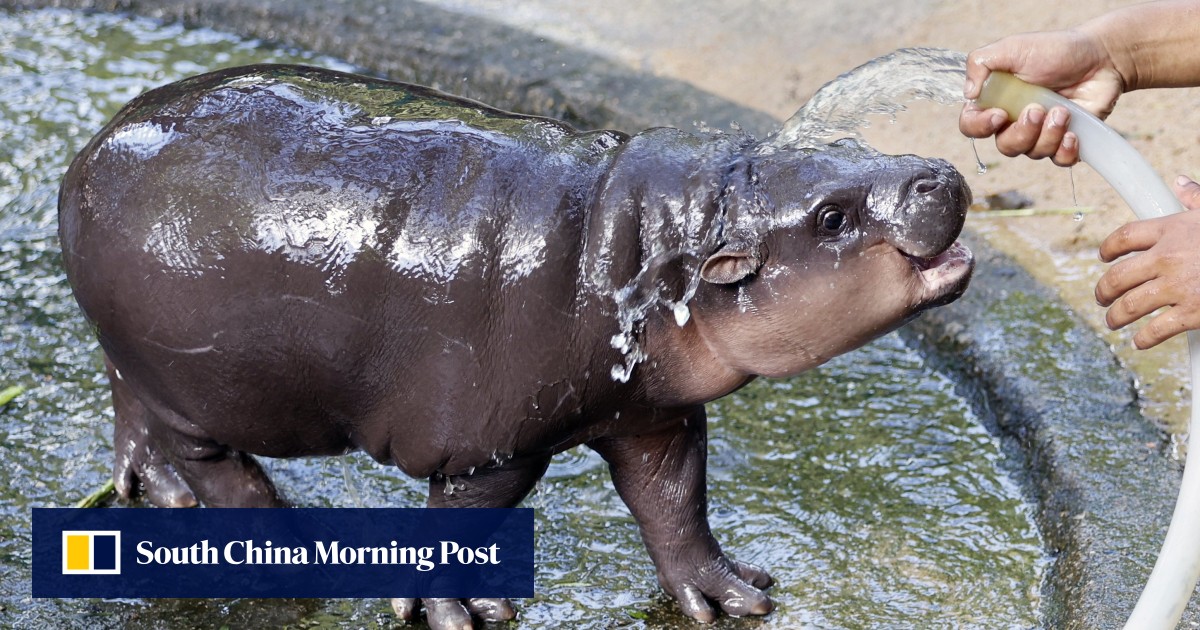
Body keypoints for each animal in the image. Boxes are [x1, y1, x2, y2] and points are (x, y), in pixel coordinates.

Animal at [58, 64, 973, 627]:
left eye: (846, 149)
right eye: (832, 217)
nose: (943, 174)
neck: (649, 242)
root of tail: (91, 150)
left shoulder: (652, 416)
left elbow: (674, 504)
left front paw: (731, 596)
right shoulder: (489, 444)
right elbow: (464, 520)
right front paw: (459, 614)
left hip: (138, 353)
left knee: (134, 407)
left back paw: (153, 489)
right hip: (211, 383)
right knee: (214, 459)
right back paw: (293, 548)